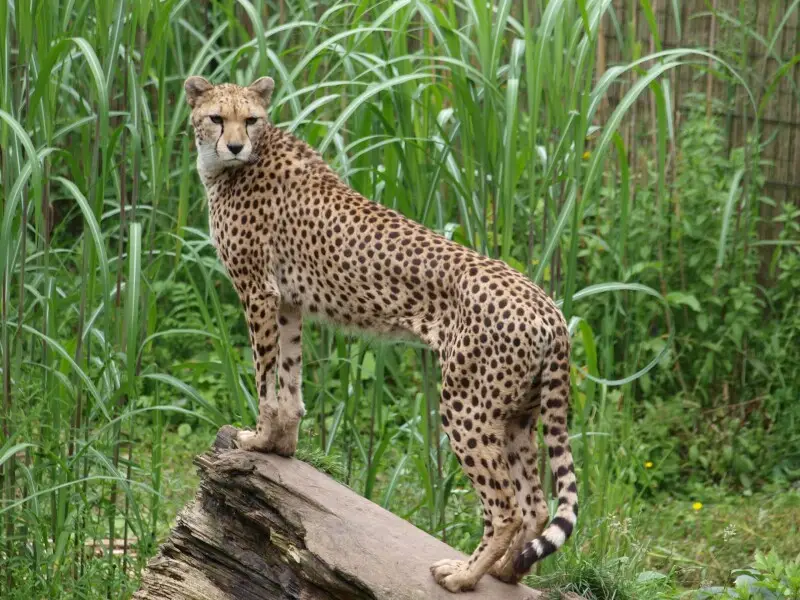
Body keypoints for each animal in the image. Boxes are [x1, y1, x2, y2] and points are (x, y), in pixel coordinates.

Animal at [184, 75, 579, 593]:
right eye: (216, 117)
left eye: (250, 119)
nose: (234, 144)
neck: (232, 165)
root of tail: (547, 306)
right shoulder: (287, 302)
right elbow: (288, 375)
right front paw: (281, 443)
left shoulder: (258, 292)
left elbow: (265, 374)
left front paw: (258, 438)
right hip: (517, 414)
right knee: (535, 504)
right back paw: (506, 572)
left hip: (467, 406)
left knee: (507, 507)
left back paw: (464, 575)